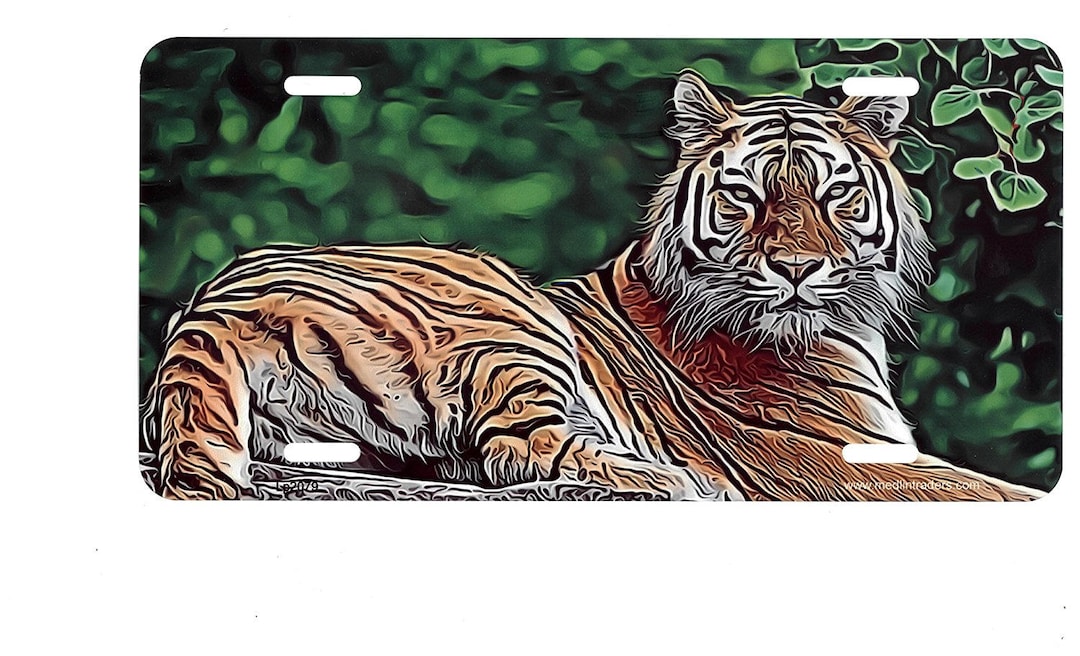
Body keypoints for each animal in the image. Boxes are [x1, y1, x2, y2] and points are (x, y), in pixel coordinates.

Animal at [140, 70, 1041, 501]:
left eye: (834, 195)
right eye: (745, 197)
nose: (794, 269)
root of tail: (206, 313)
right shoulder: (834, 461)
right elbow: (998, 494)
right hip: (512, 311)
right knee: (519, 451)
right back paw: (680, 482)